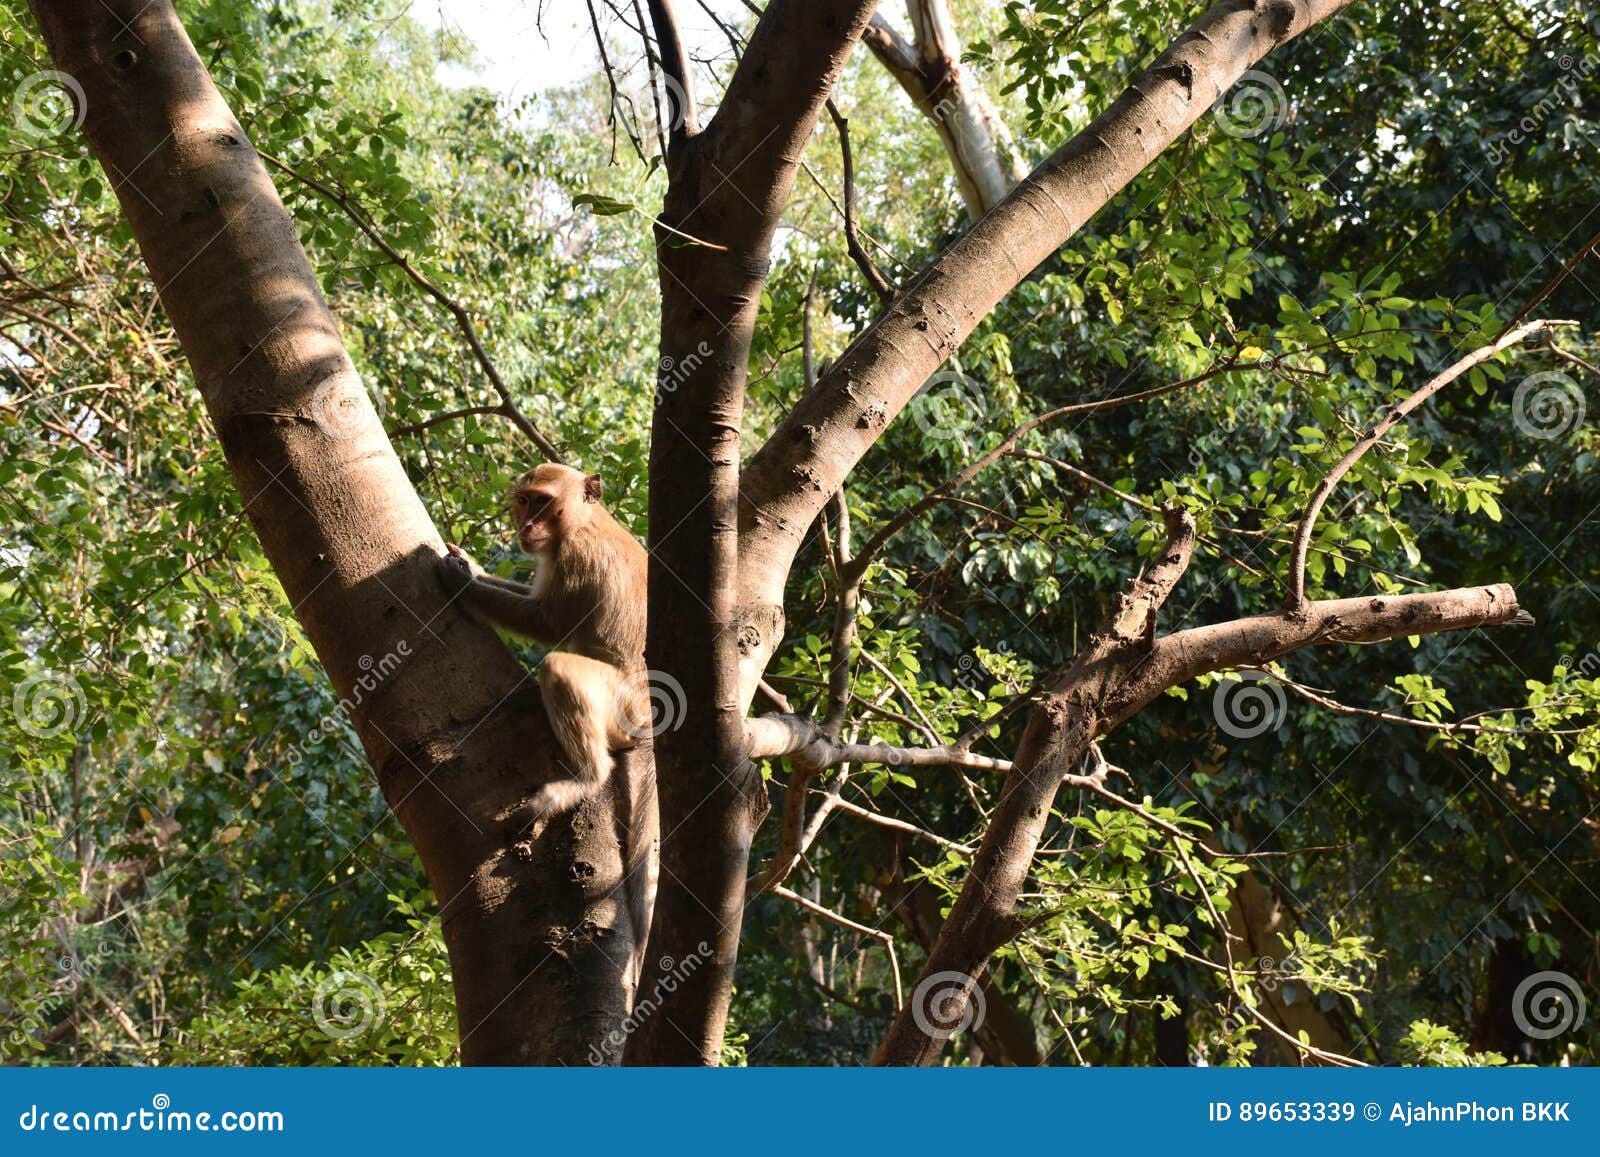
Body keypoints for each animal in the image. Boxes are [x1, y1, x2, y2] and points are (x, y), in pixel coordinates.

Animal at [438, 463, 651, 824]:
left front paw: (462, 582)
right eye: (524, 500)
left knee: (559, 666)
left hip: (626, 706)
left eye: (543, 502)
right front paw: (472, 567)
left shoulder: (576, 556)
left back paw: (588, 778)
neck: (583, 520)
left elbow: (549, 624)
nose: (526, 525)